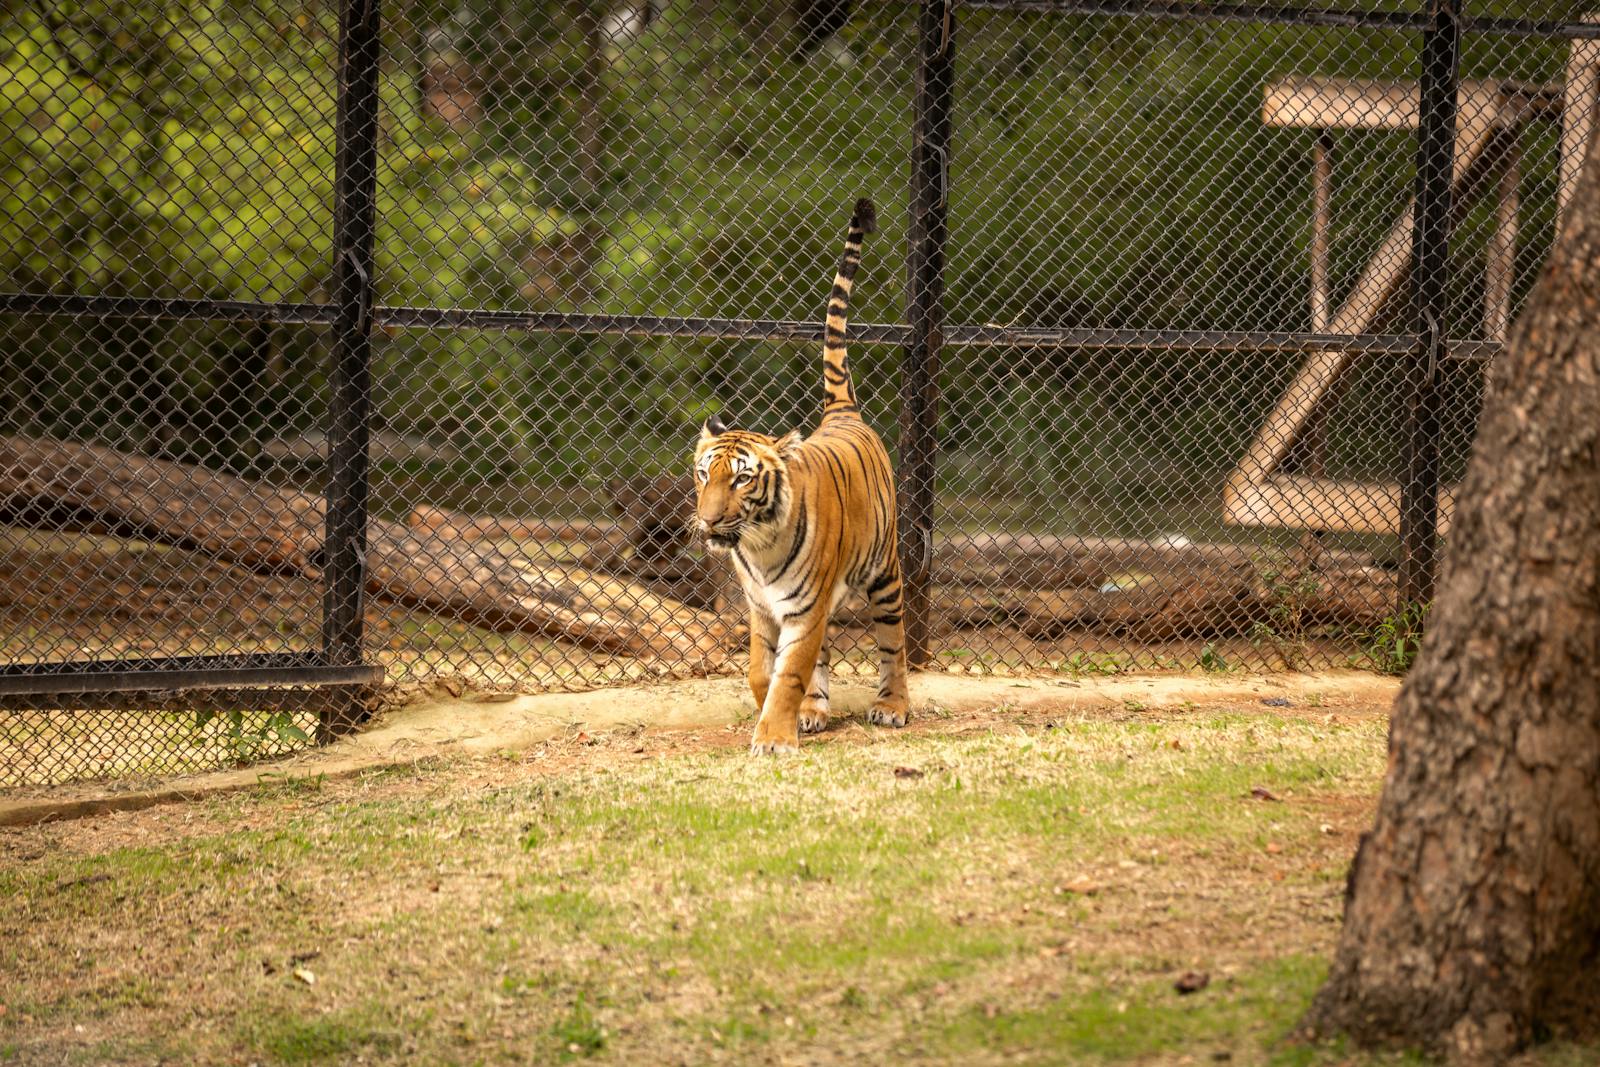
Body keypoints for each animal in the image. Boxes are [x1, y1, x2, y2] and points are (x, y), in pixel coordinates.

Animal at [693, 197, 909, 754]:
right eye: (704, 475)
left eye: (742, 480)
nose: (708, 522)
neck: (757, 546)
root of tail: (842, 413)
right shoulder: (763, 609)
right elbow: (761, 671)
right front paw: (782, 710)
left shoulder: (804, 608)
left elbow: (789, 673)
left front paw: (773, 737)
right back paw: (814, 711)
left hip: (885, 574)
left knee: (893, 642)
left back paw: (893, 705)